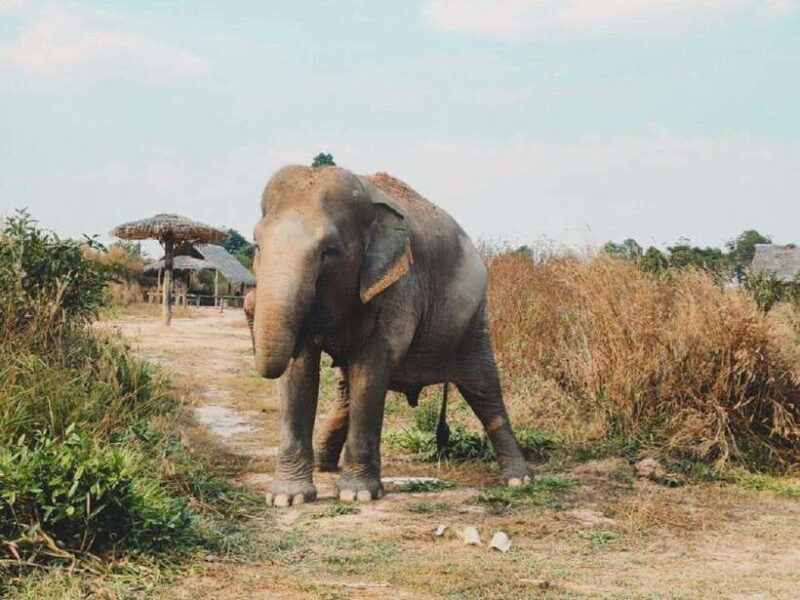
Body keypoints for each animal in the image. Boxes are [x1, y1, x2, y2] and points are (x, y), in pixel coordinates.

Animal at [251, 166, 531, 506]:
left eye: (329, 252)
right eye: (257, 246)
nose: (248, 302)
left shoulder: (399, 287)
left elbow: (372, 370)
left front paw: (357, 494)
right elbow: (299, 373)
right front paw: (287, 498)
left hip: (473, 321)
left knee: (484, 388)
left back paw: (518, 479)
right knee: (346, 391)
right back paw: (324, 464)